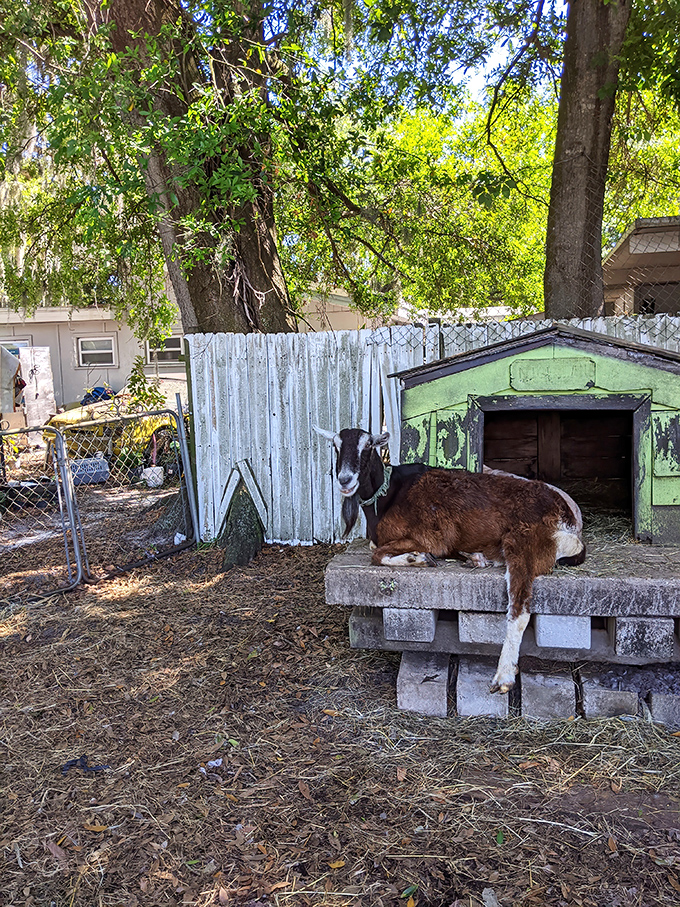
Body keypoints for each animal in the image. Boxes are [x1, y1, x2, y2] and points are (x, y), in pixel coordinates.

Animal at [316, 427, 586, 694]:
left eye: (368, 446)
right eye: (335, 446)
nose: (345, 480)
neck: (389, 495)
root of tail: (568, 518)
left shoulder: (429, 537)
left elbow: (378, 554)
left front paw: (419, 558)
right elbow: (376, 549)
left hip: (523, 539)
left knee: (519, 609)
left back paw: (503, 676)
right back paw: (476, 557)